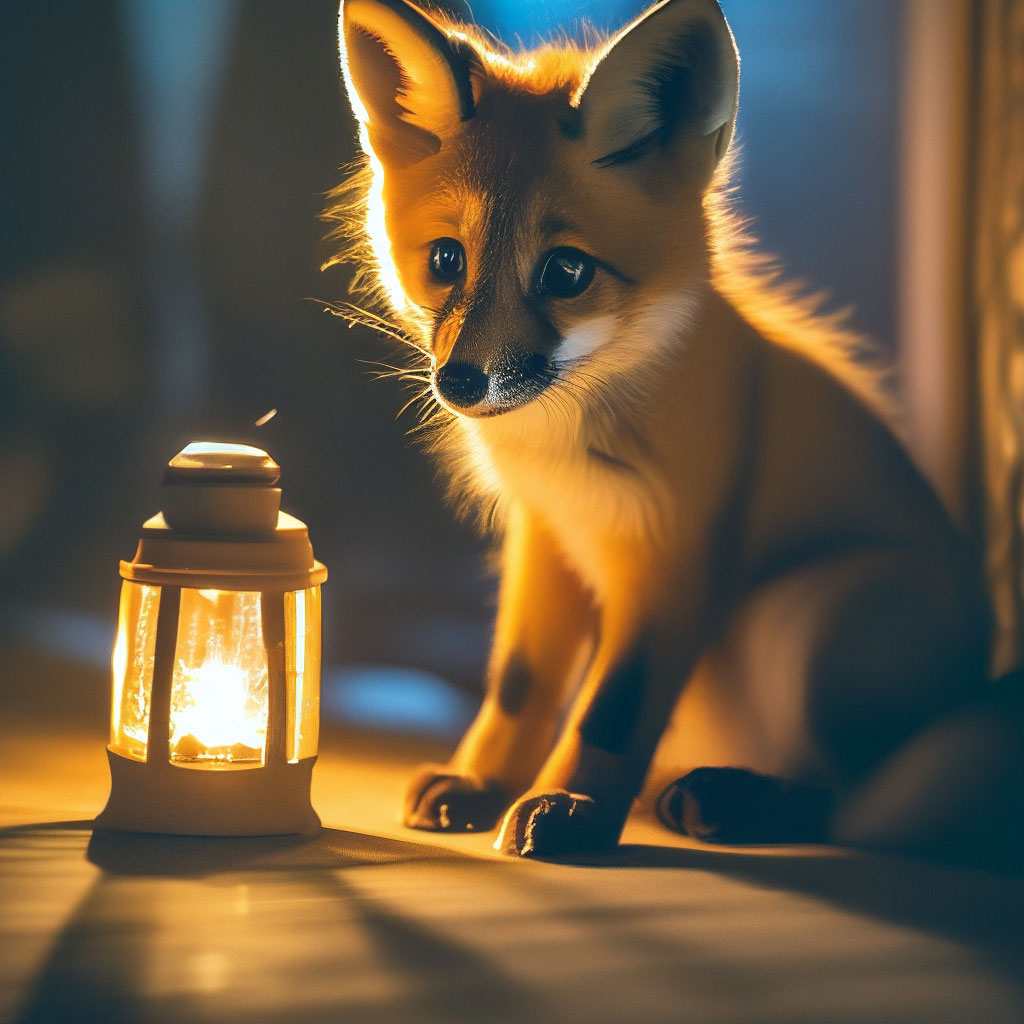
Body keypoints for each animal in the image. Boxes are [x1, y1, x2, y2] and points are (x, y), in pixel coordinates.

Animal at [326, 0, 1022, 864]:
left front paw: (573, 808)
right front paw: (482, 783)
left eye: (566, 272)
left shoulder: (675, 552)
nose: (459, 382)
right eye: (448, 260)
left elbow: (614, 709)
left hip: (808, 620)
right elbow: (520, 686)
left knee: (856, 800)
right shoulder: (545, 537)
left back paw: (734, 801)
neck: (565, 449)